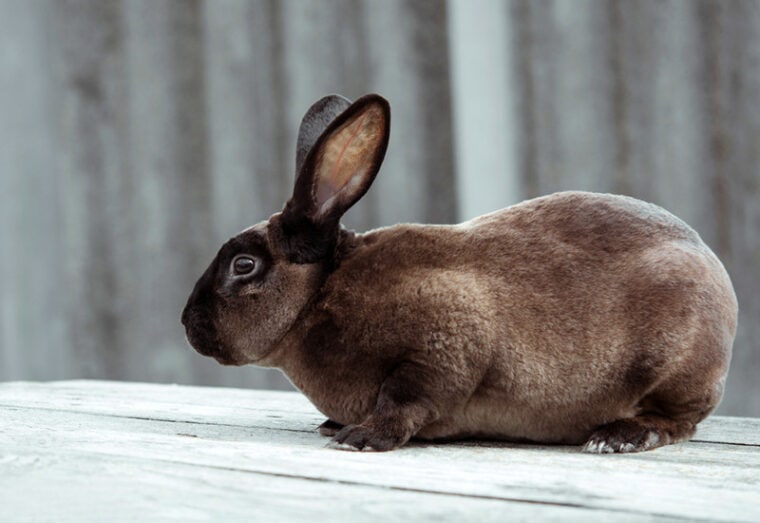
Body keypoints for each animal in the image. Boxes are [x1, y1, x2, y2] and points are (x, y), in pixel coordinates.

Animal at [182, 93, 737, 453]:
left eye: (244, 265)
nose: (188, 323)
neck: (320, 295)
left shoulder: (442, 342)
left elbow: (406, 398)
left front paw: (359, 437)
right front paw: (333, 424)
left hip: (675, 366)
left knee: (677, 419)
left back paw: (616, 437)